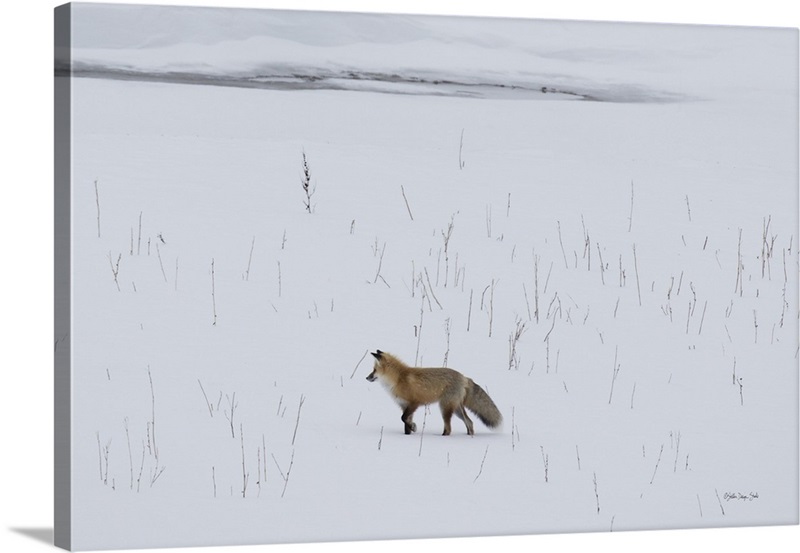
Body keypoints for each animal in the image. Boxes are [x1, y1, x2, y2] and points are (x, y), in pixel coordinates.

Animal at [366, 350, 502, 436]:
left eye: (374, 370)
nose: (366, 378)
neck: (399, 379)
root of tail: (464, 377)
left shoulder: (414, 403)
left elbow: (403, 418)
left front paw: (413, 427)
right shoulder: (404, 405)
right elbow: (405, 423)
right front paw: (407, 435)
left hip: (445, 407)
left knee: (449, 429)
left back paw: (442, 436)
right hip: (457, 409)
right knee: (469, 422)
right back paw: (469, 436)